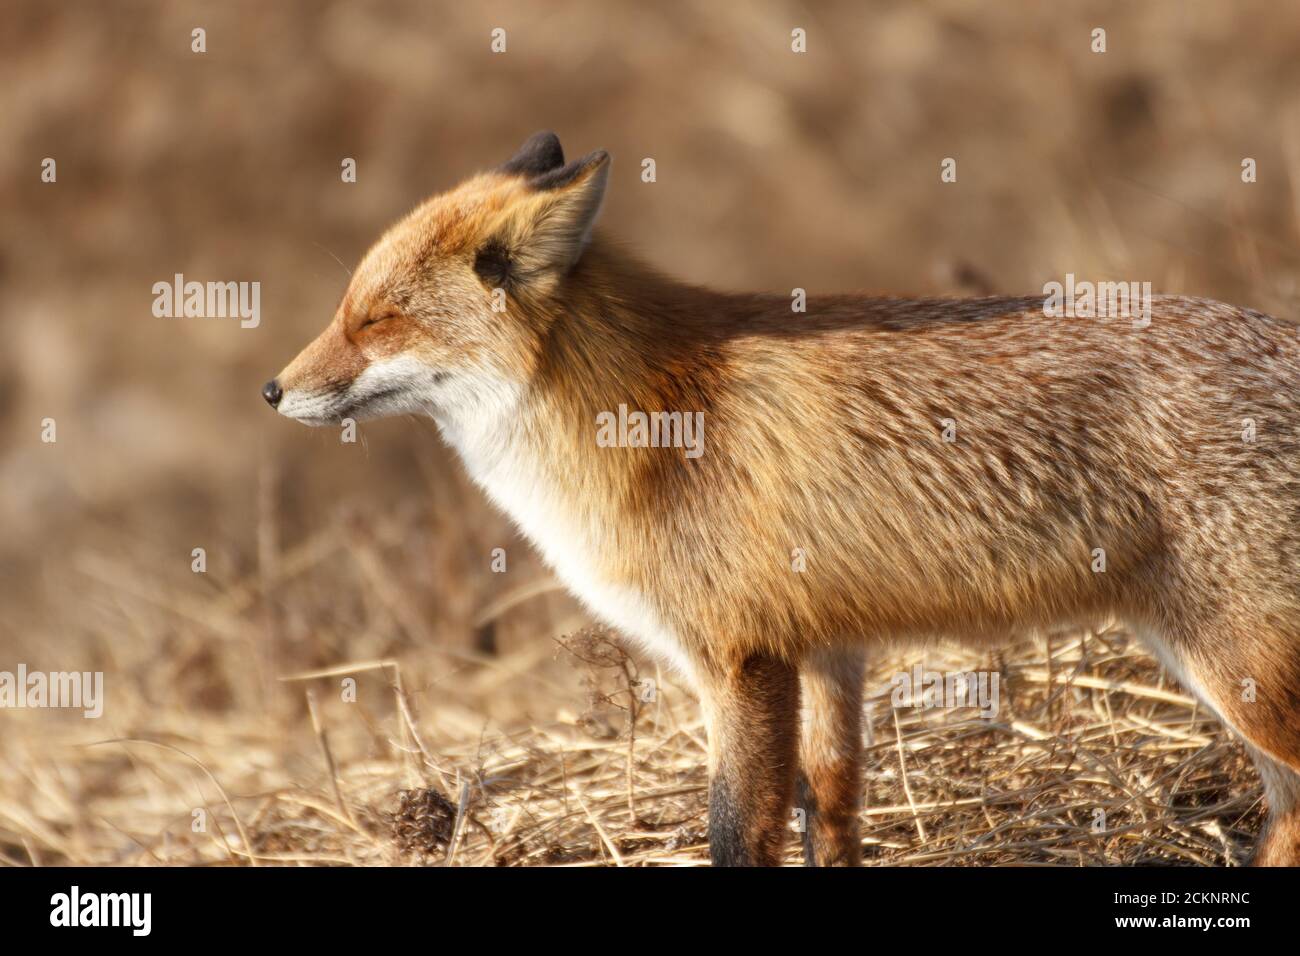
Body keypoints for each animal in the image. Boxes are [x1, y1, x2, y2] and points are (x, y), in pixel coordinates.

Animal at [266, 131, 1300, 867]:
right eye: (347, 309)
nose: (273, 391)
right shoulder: (830, 652)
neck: (647, 418)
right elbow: (830, 818)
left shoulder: (738, 657)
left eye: (375, 321)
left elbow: (736, 834)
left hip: (1239, 667)